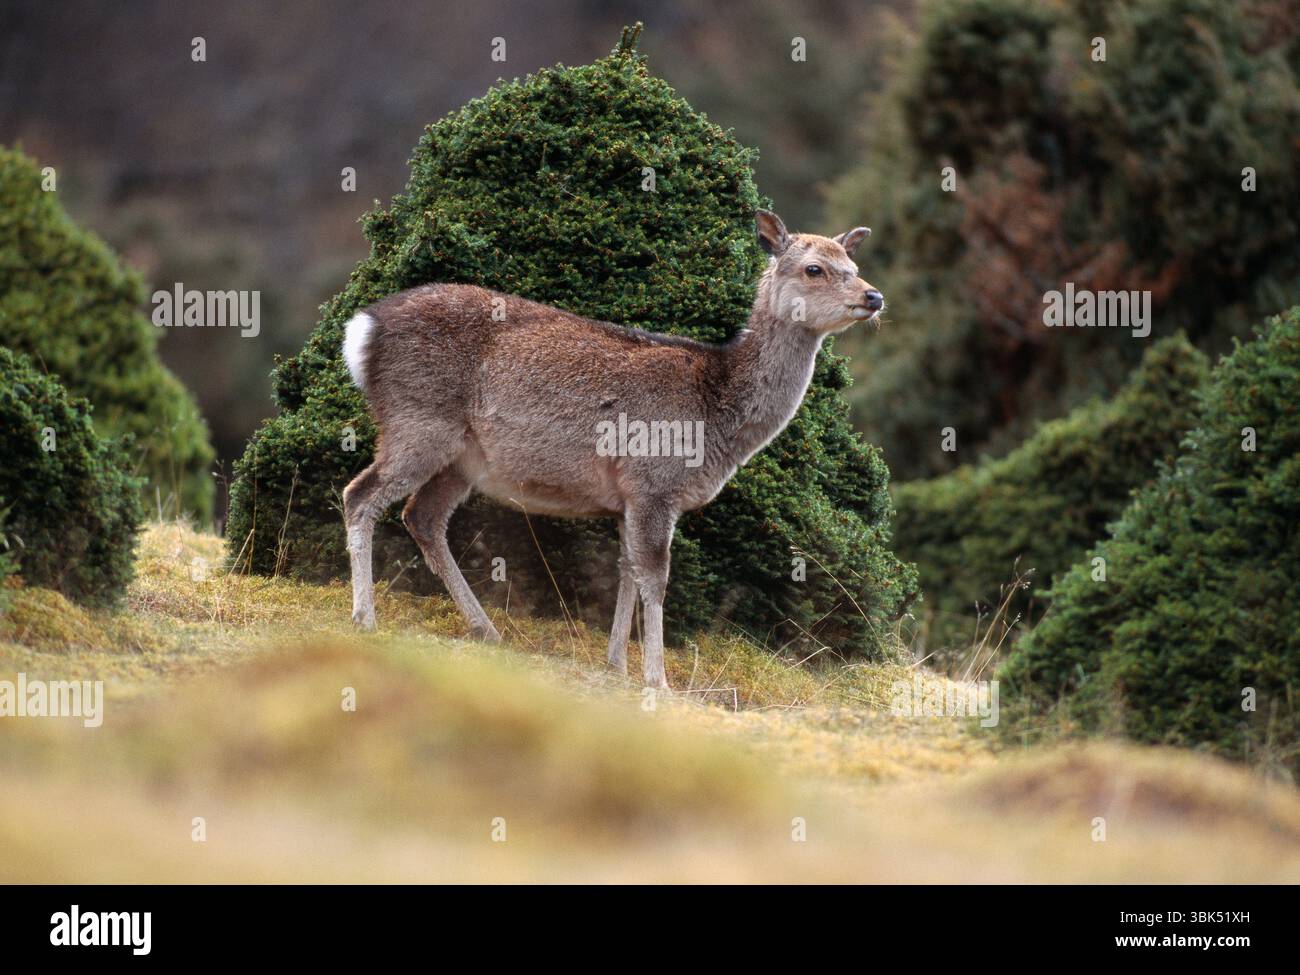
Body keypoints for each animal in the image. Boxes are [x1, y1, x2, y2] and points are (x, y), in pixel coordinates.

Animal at [341, 210, 884, 689]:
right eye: (814, 268)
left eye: (852, 265)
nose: (873, 296)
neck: (718, 418)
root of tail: (360, 331)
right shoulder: (653, 482)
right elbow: (655, 575)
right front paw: (657, 678)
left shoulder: (626, 496)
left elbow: (626, 570)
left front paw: (617, 663)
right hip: (419, 421)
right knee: (359, 495)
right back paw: (365, 617)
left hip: (460, 458)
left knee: (422, 517)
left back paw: (485, 629)